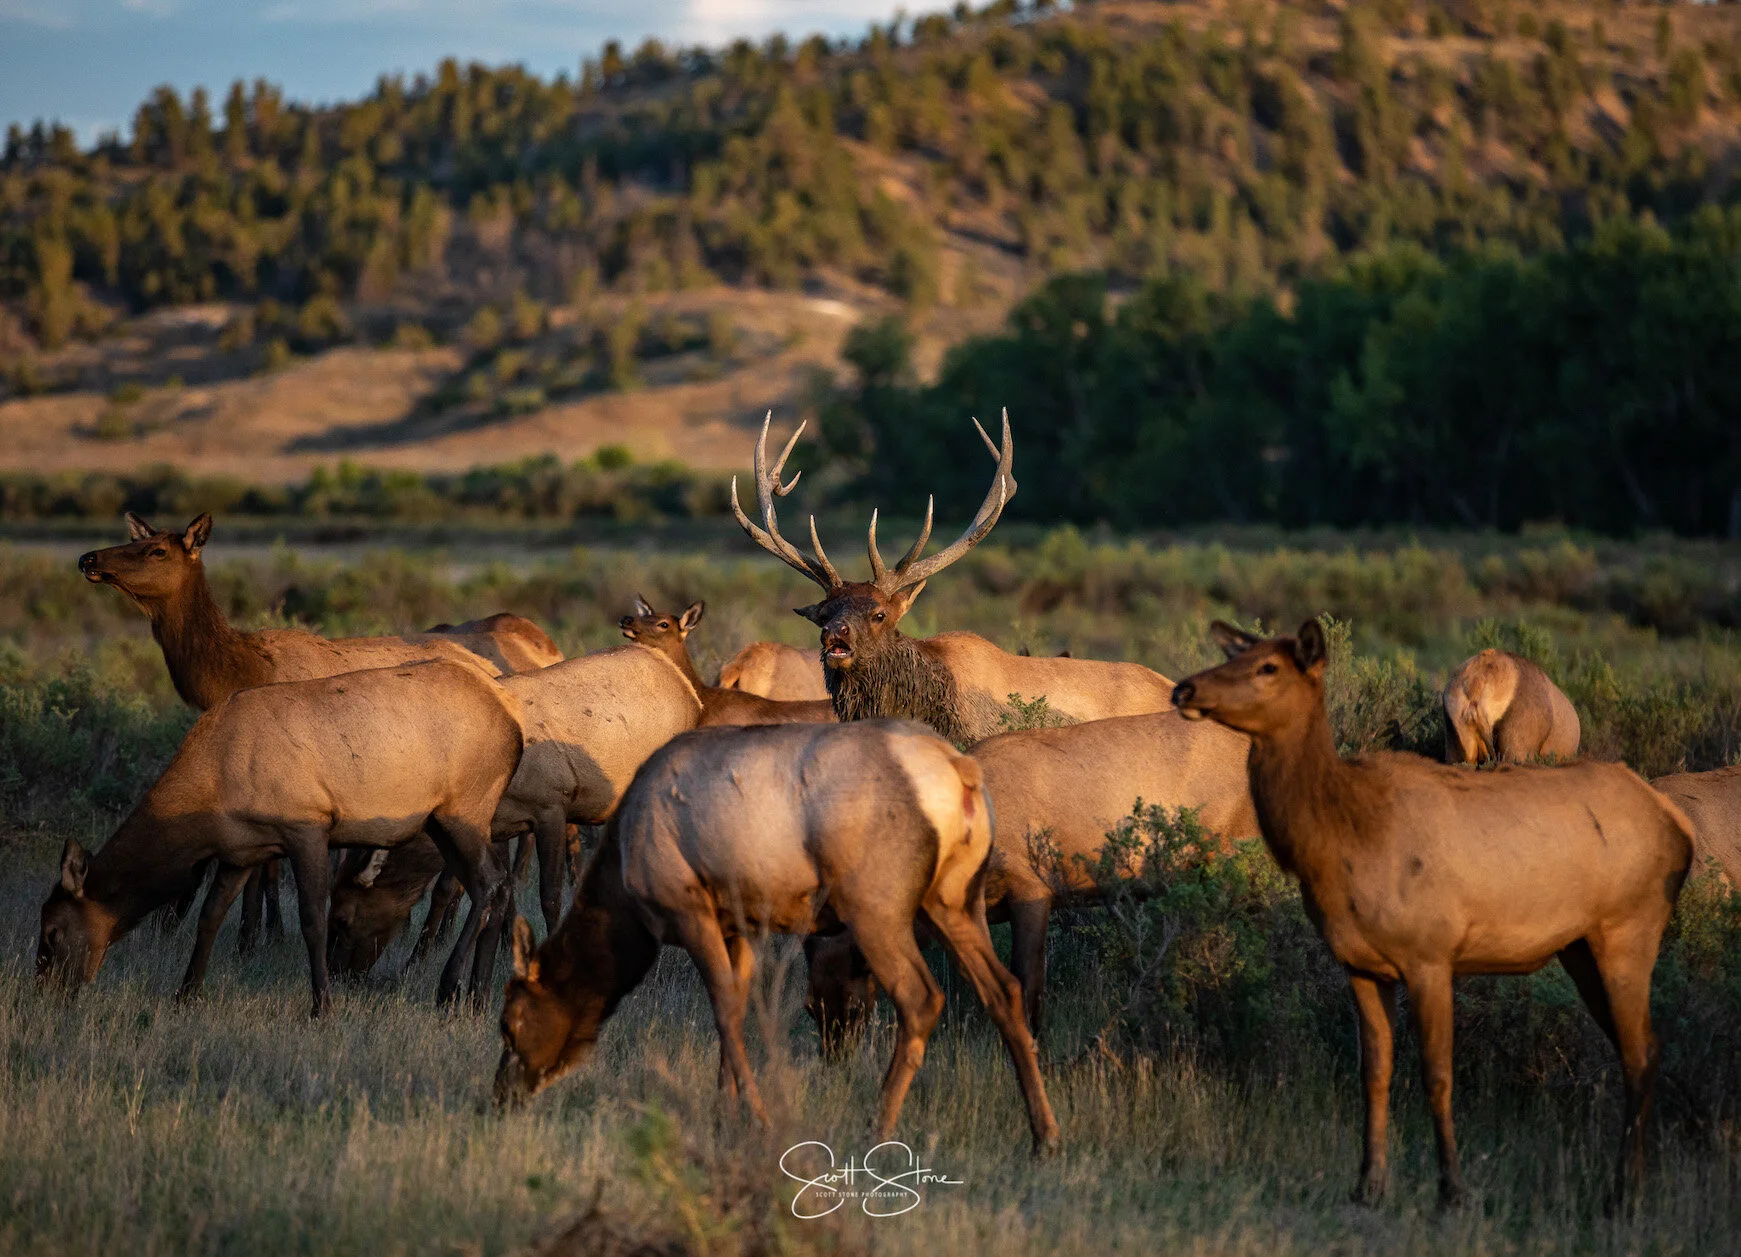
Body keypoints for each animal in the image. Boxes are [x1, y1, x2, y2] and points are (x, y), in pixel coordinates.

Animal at [37, 660, 526, 1016]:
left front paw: (322, 1007)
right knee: (496, 885)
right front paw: (186, 994)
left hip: (466, 809)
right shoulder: (242, 851)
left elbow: (311, 920)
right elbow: (210, 916)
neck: (212, 790)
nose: (45, 989)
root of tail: (514, 721)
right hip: (441, 822)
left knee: (488, 883)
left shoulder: (307, 826)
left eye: (53, 932)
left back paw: (448, 988)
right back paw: (478, 995)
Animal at [77, 511, 562, 955]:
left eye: (157, 550)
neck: (234, 673)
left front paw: (255, 936)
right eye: (134, 540)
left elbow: (265, 870)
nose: (88, 557)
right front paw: (263, 931)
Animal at [325, 644, 705, 974]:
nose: (340, 972)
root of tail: (690, 689)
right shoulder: (494, 825)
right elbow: (466, 890)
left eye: (342, 916)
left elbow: (549, 895)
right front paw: (420, 961)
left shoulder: (552, 806)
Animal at [493, 720, 1061, 1155]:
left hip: (877, 903)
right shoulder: (739, 921)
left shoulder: (687, 905)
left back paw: (877, 1130)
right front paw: (725, 1114)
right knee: (1006, 990)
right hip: (955, 899)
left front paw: (758, 1120)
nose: (499, 1097)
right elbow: (736, 1008)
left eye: (509, 1022)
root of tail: (963, 777)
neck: (623, 896)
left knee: (921, 998)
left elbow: (724, 1009)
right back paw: (1045, 1136)